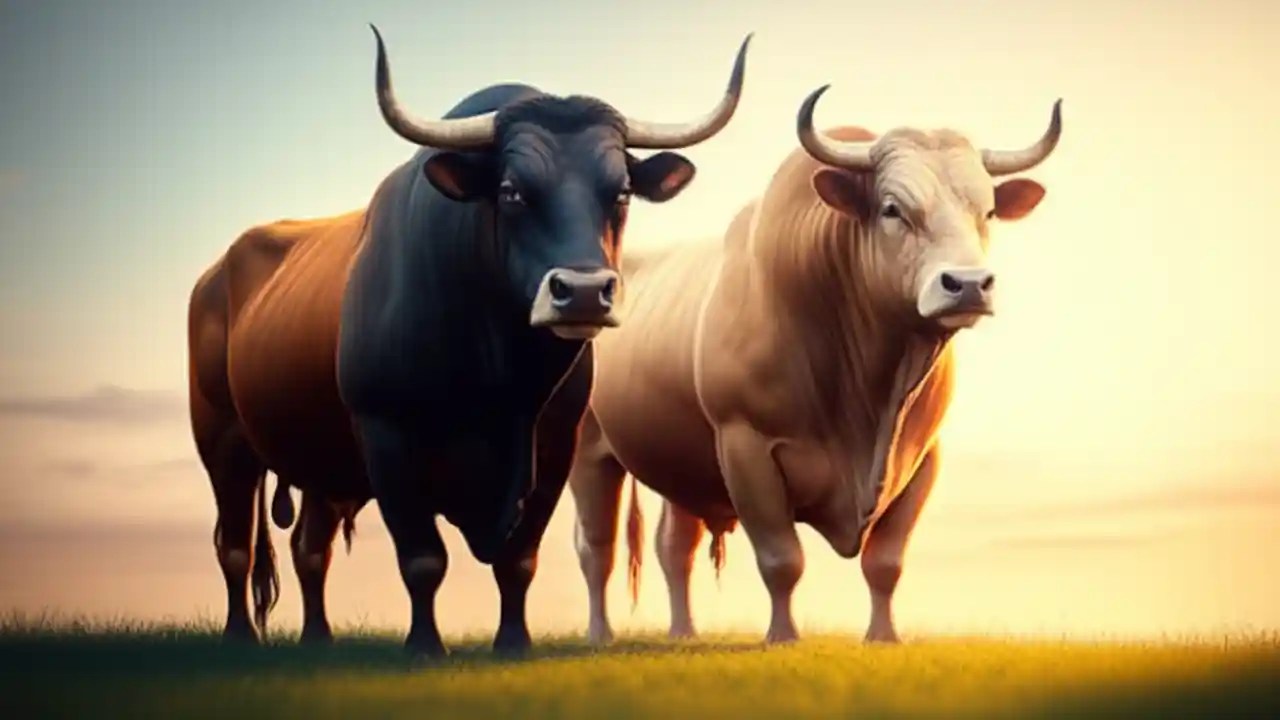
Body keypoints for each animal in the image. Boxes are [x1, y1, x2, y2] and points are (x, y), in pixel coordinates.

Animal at [186, 25, 751, 656]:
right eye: (510, 191)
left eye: (623, 192)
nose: (583, 293)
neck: (497, 376)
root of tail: (216, 274)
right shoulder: (388, 437)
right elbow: (423, 558)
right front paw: (424, 647)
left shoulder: (553, 448)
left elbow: (519, 559)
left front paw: (514, 642)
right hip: (224, 440)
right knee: (235, 545)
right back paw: (240, 635)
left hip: (319, 457)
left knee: (311, 548)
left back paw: (317, 639)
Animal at [567, 85, 1062, 645]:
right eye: (892, 208)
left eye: (989, 211)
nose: (970, 284)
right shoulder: (745, 447)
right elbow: (782, 559)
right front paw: (783, 636)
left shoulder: (924, 458)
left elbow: (885, 561)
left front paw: (883, 636)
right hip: (589, 453)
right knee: (597, 549)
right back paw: (600, 634)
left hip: (680, 459)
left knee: (674, 547)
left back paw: (684, 632)